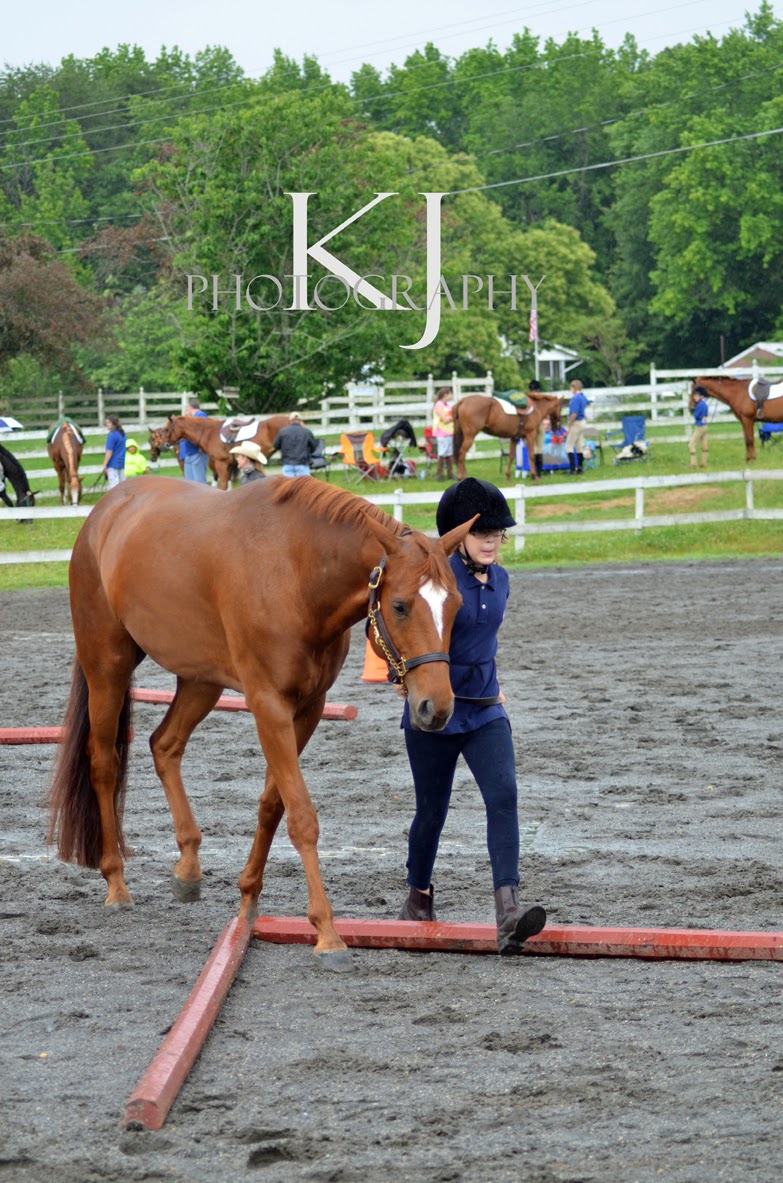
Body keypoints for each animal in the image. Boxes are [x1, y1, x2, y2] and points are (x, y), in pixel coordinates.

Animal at [47, 476, 473, 969]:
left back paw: (188, 867)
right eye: (401, 606)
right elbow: (302, 816)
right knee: (103, 764)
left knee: (164, 745)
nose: (436, 708)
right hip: (107, 667)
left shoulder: (307, 708)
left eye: (456, 605)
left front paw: (248, 899)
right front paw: (328, 933)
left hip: (201, 680)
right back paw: (116, 883)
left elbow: (273, 804)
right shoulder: (268, 705)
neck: (297, 572)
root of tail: (106, 511)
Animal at [148, 413, 290, 489]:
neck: (210, 433)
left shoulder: (221, 464)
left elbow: (222, 486)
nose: (163, 446)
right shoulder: (228, 466)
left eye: (167, 429)